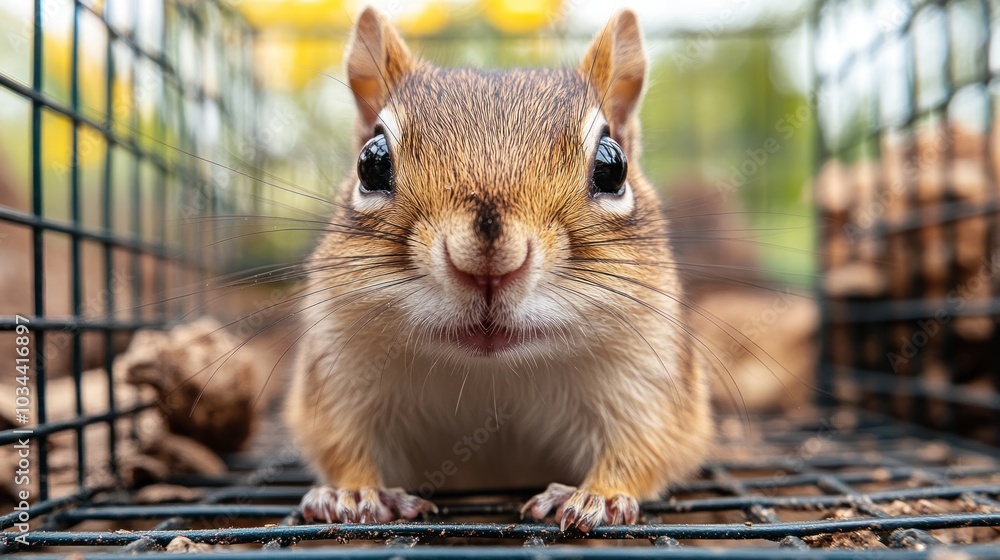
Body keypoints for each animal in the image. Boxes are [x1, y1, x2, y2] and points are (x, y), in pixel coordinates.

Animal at [284, 7, 714, 532]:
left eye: (614, 168)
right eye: (371, 162)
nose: (487, 265)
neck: (489, 377)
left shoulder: (647, 373)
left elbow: (643, 444)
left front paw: (600, 496)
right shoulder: (339, 366)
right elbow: (343, 440)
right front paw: (352, 492)